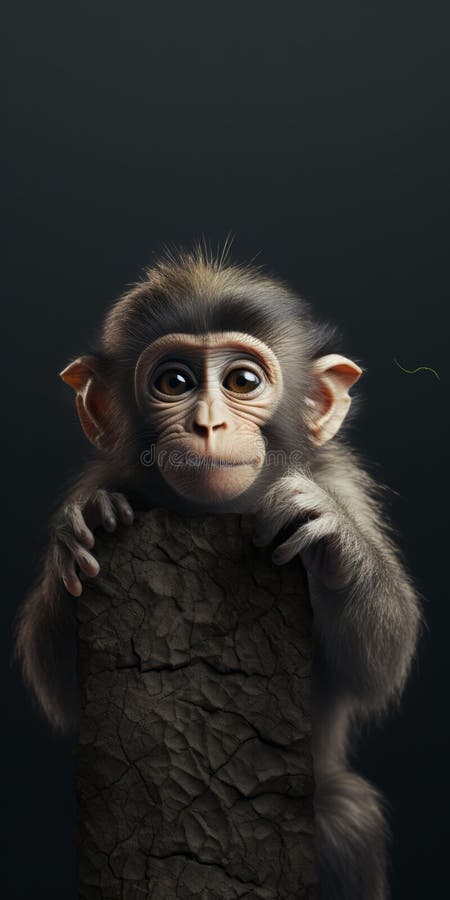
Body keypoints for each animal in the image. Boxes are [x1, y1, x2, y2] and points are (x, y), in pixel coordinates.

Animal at [15, 246, 422, 900]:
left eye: (242, 382)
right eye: (174, 382)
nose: (207, 423)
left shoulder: (339, 479)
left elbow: (375, 667)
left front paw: (333, 537)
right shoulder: (106, 476)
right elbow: (65, 695)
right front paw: (85, 532)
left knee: (345, 819)